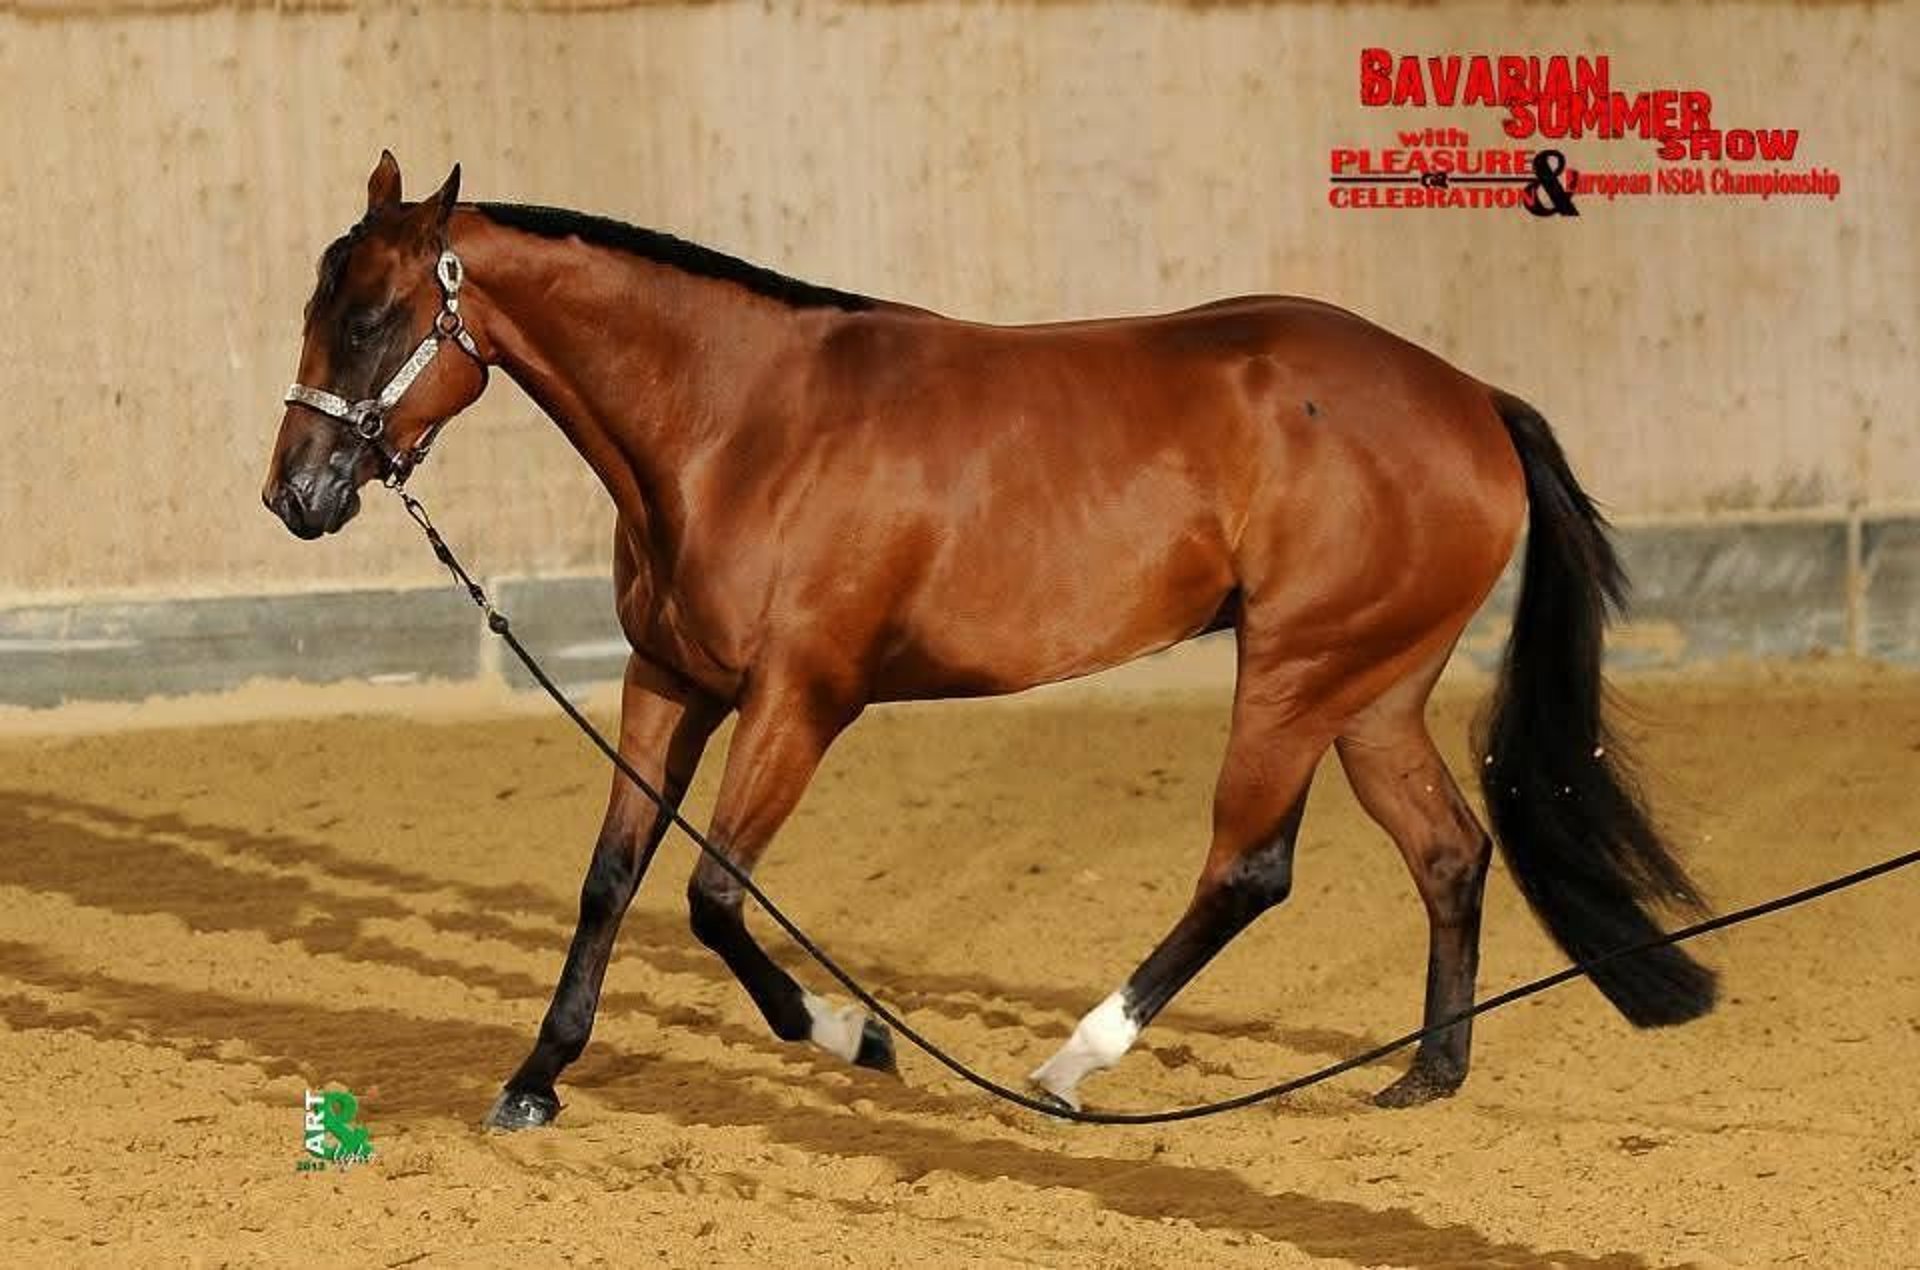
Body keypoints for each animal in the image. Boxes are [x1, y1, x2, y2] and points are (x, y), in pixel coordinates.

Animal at [263, 152, 1715, 1132]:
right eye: (318, 307)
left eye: (375, 317)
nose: (296, 494)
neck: (740, 427)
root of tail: (1471, 397)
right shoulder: (668, 683)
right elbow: (610, 882)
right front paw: (534, 1080)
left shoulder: (803, 699)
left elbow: (715, 895)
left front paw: (853, 1035)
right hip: (1373, 691)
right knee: (1448, 852)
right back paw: (1425, 1075)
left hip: (1298, 675)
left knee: (1249, 868)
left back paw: (1071, 1066)